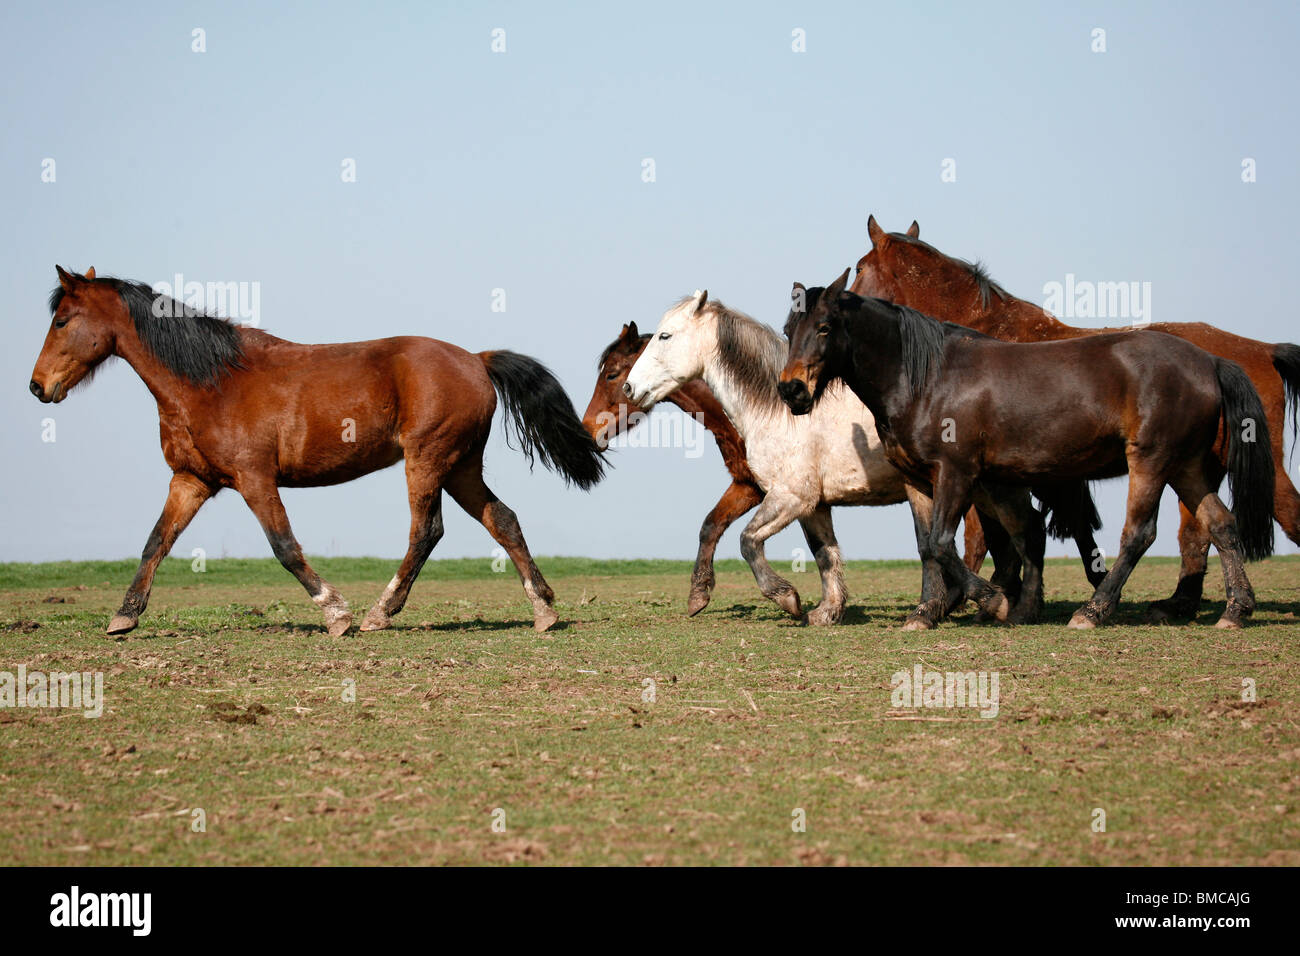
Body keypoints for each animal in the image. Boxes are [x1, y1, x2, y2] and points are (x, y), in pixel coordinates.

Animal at [30, 267, 605, 636]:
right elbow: (155, 543)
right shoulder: (190, 481)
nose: (37, 386)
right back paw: (544, 611)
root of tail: (476, 359)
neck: (210, 384)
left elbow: (284, 547)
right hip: (460, 466)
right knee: (502, 519)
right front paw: (124, 617)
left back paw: (379, 613)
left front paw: (336, 614)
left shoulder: (254, 479)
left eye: (62, 321)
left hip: (428, 460)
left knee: (427, 531)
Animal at [619, 291, 1037, 627]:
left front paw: (787, 598)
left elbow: (747, 540)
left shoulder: (791, 496)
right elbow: (825, 555)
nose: (629, 387)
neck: (778, 410)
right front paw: (827, 611)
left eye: (666, 336)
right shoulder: (813, 505)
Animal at [779, 270, 1275, 630]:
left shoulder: (956, 473)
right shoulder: (918, 479)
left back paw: (1093, 611)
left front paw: (995, 602)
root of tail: (1209, 361)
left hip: (1151, 463)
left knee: (1139, 534)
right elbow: (925, 547)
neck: (927, 378)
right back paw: (1236, 610)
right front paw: (924, 613)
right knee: (1222, 525)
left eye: (824, 328)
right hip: (1185, 467)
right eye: (788, 329)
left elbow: (942, 543)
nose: (791, 389)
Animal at [854, 216, 1300, 619]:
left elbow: (983, 538)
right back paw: (1188, 604)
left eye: (858, 269)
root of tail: (1252, 352)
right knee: (1204, 531)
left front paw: (972, 598)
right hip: (1191, 466)